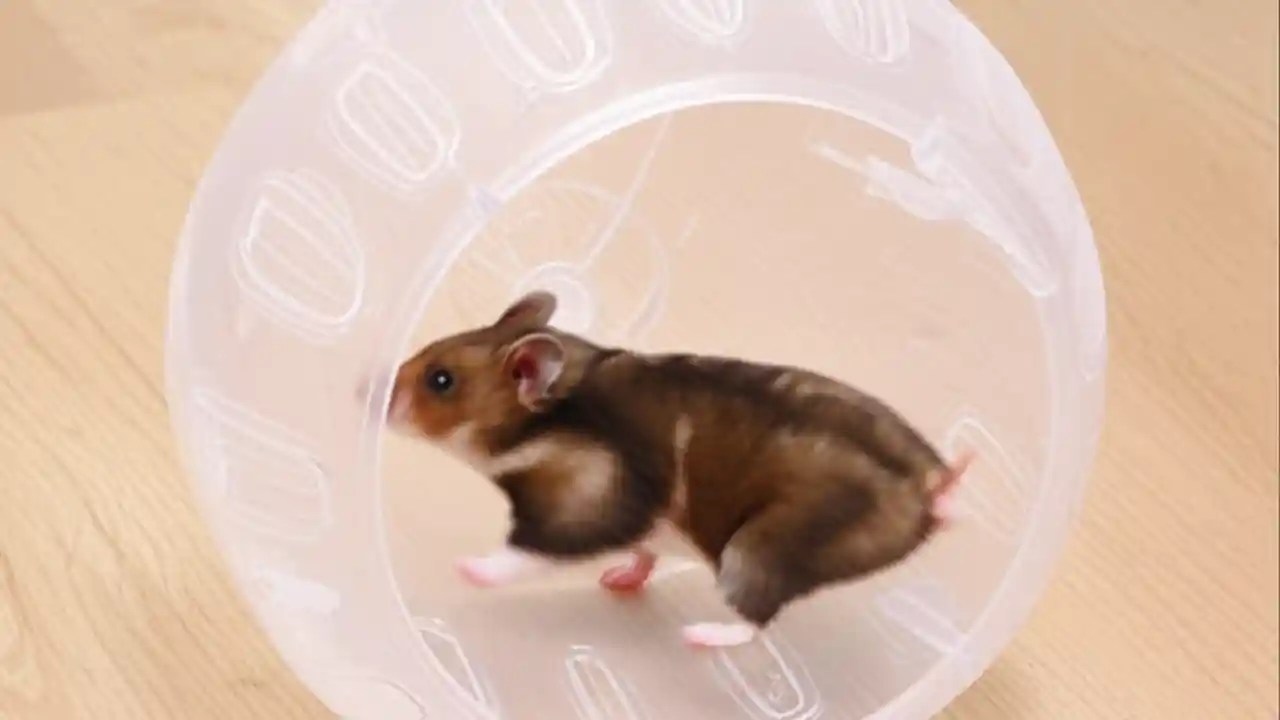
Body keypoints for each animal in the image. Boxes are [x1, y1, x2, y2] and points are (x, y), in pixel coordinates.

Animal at [385, 291, 971, 648]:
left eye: (441, 380)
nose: (371, 395)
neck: (545, 418)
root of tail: (931, 494)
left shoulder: (591, 497)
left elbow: (525, 552)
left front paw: (465, 569)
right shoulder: (638, 527)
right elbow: (643, 551)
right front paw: (616, 579)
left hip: (760, 548)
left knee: (756, 619)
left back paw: (699, 636)